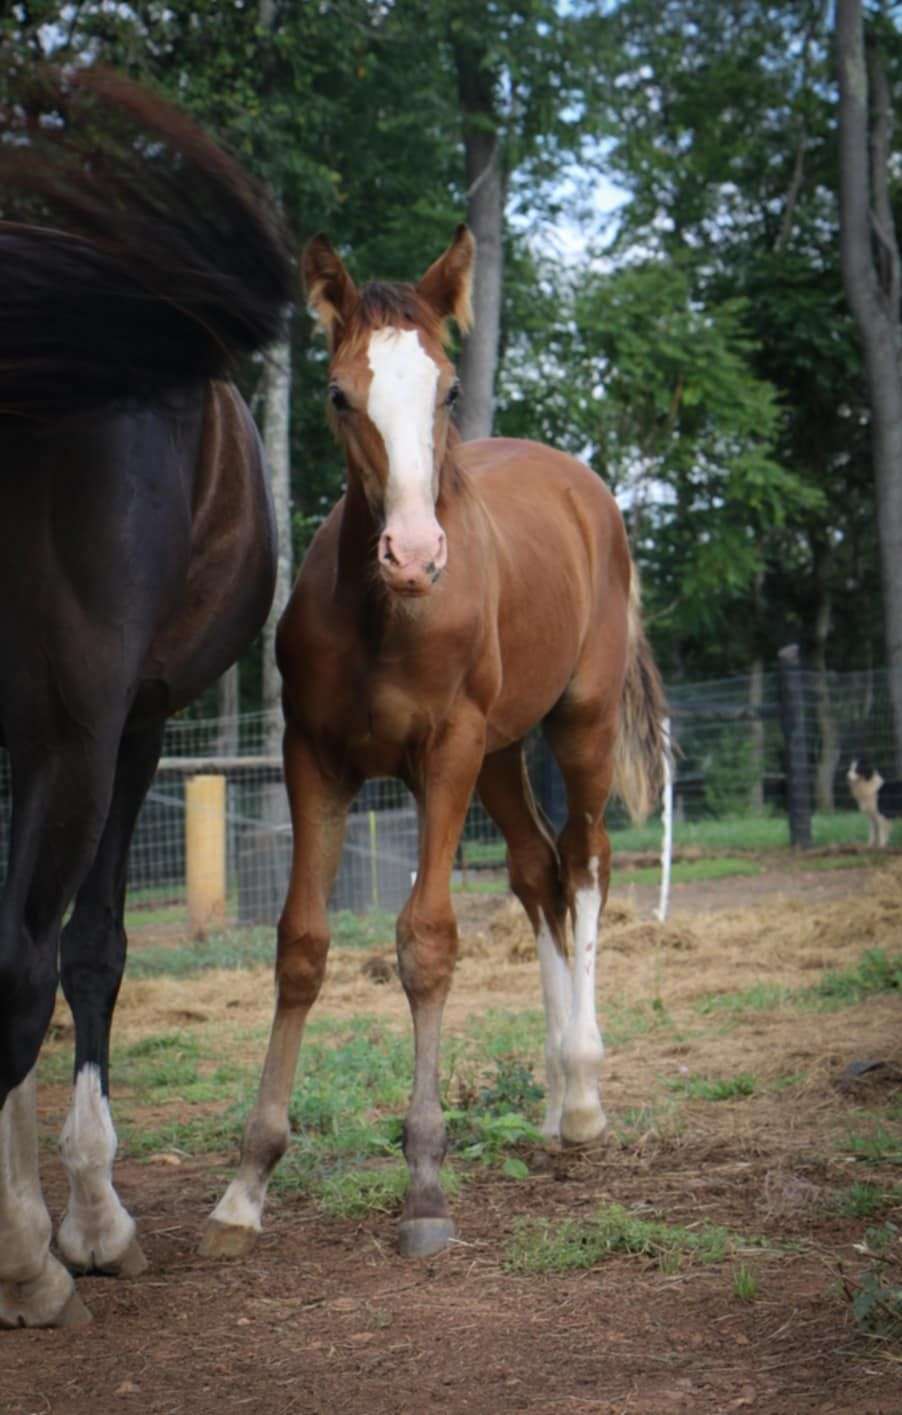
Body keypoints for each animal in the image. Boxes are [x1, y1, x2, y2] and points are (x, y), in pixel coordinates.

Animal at [203, 226, 667, 1263]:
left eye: (449, 390)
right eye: (340, 393)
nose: (414, 555)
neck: (388, 617)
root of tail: (585, 487)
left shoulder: (444, 754)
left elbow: (426, 942)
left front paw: (423, 1185)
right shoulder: (314, 759)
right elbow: (302, 944)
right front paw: (247, 1183)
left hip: (572, 726)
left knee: (586, 861)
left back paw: (583, 1093)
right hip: (499, 756)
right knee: (538, 871)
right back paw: (550, 1098)